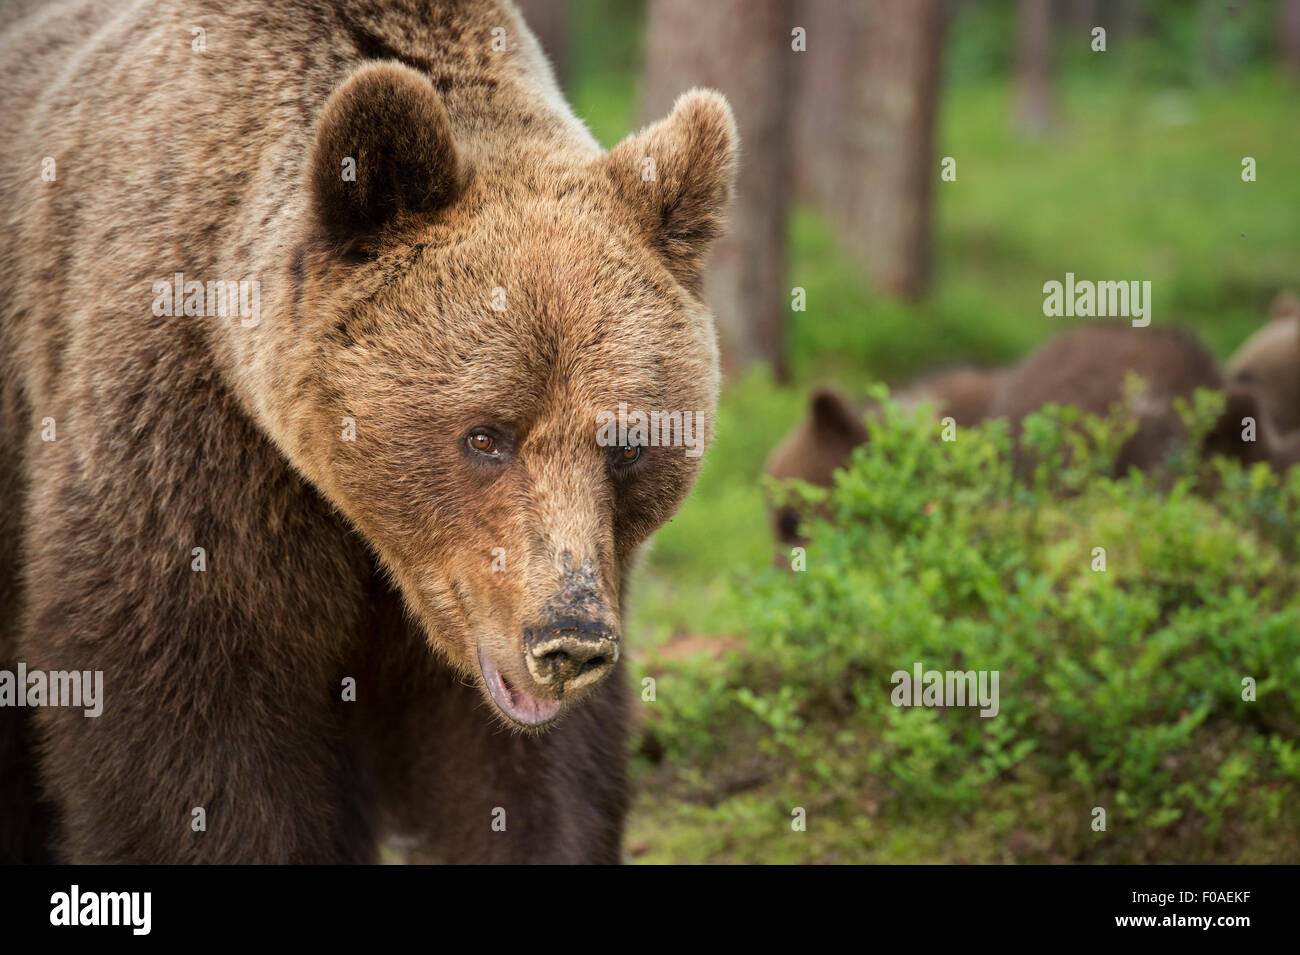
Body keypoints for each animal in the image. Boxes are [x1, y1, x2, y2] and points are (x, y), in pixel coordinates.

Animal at [0, 0, 737, 863]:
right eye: (486, 434)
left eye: (626, 443)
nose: (567, 640)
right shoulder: (190, 451)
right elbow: (187, 726)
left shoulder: (501, 603)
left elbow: (526, 771)